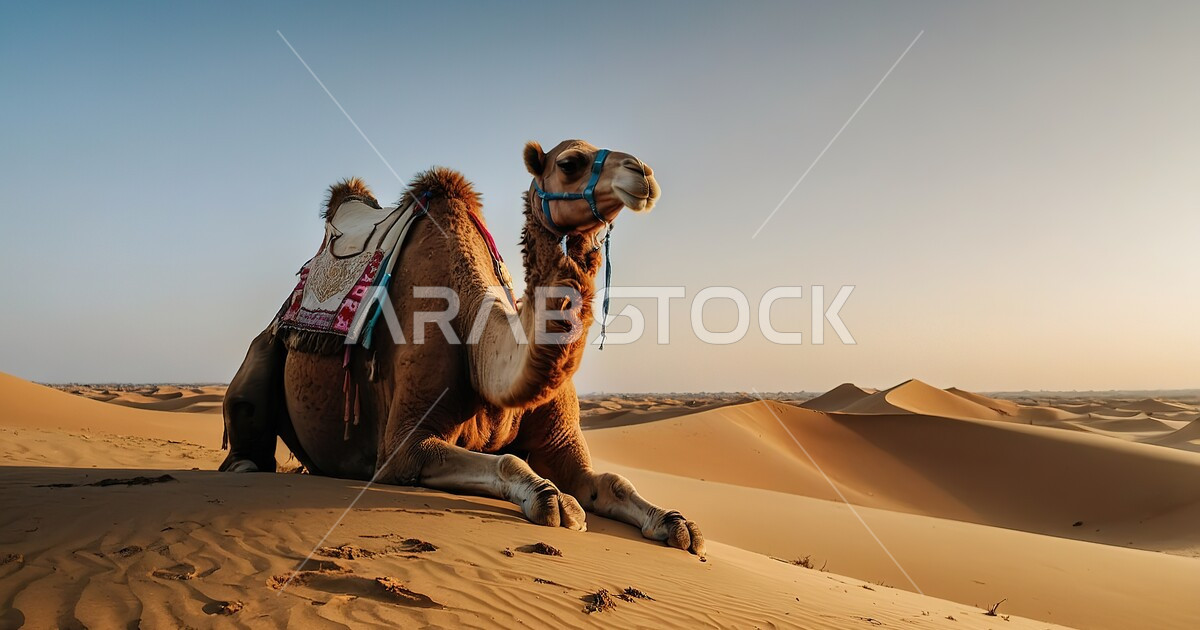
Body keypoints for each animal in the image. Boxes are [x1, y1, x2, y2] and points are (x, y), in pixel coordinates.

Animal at [220, 139, 704, 557]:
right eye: (571, 163)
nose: (642, 172)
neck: (478, 336)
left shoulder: (562, 444)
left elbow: (612, 480)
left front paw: (678, 524)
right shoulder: (399, 449)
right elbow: (507, 462)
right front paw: (557, 501)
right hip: (264, 351)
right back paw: (243, 467)